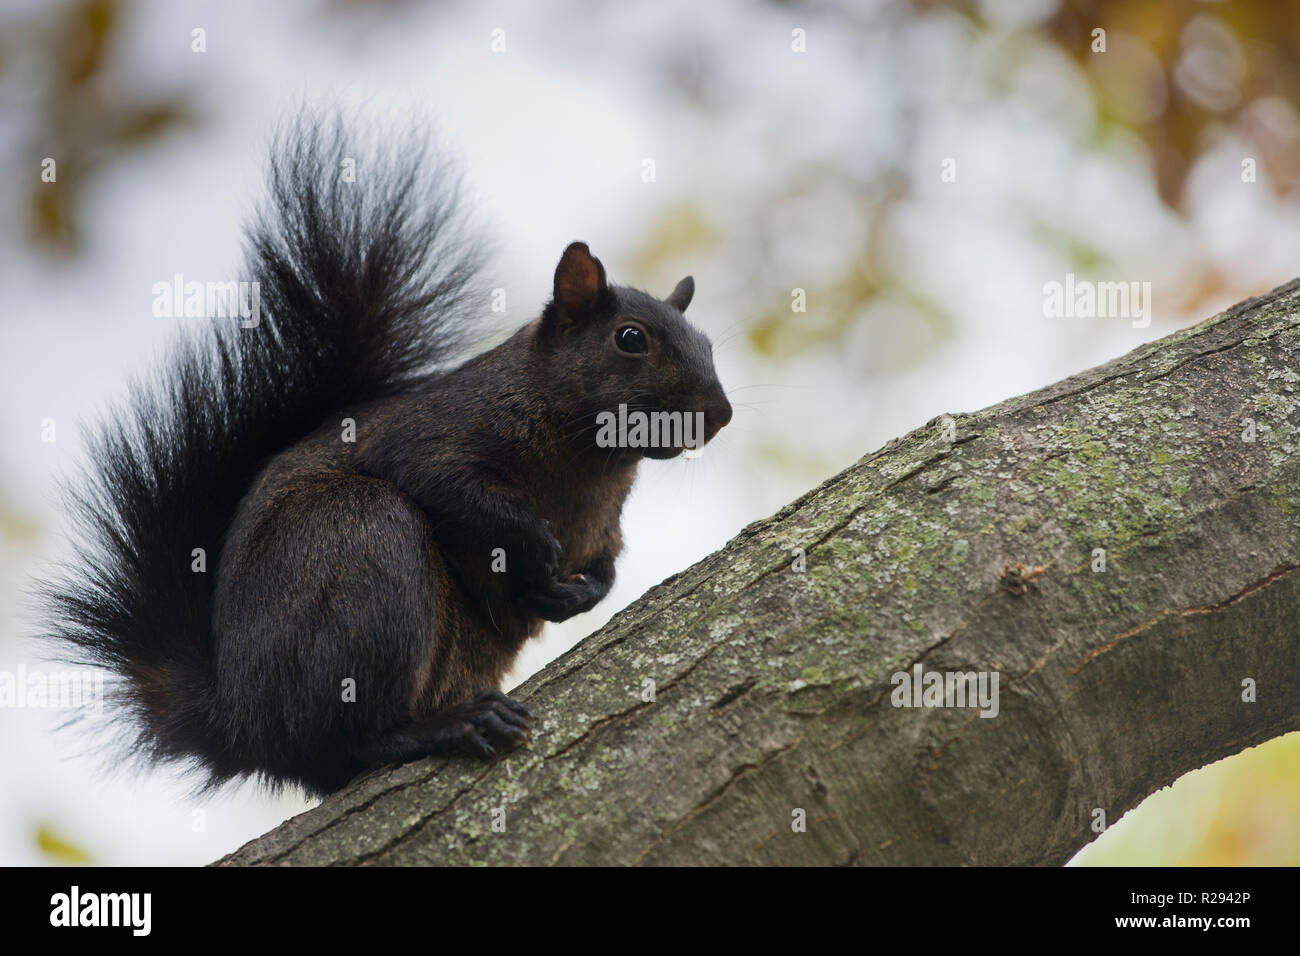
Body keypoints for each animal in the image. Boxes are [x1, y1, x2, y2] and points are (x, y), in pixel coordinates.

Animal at [42, 115, 731, 797]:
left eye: (707, 342)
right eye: (630, 339)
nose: (719, 414)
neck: (592, 466)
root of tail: (241, 722)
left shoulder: (604, 526)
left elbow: (608, 566)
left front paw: (576, 595)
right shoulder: (436, 436)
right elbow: (451, 487)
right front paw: (535, 547)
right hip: (362, 544)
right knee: (345, 742)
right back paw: (448, 726)